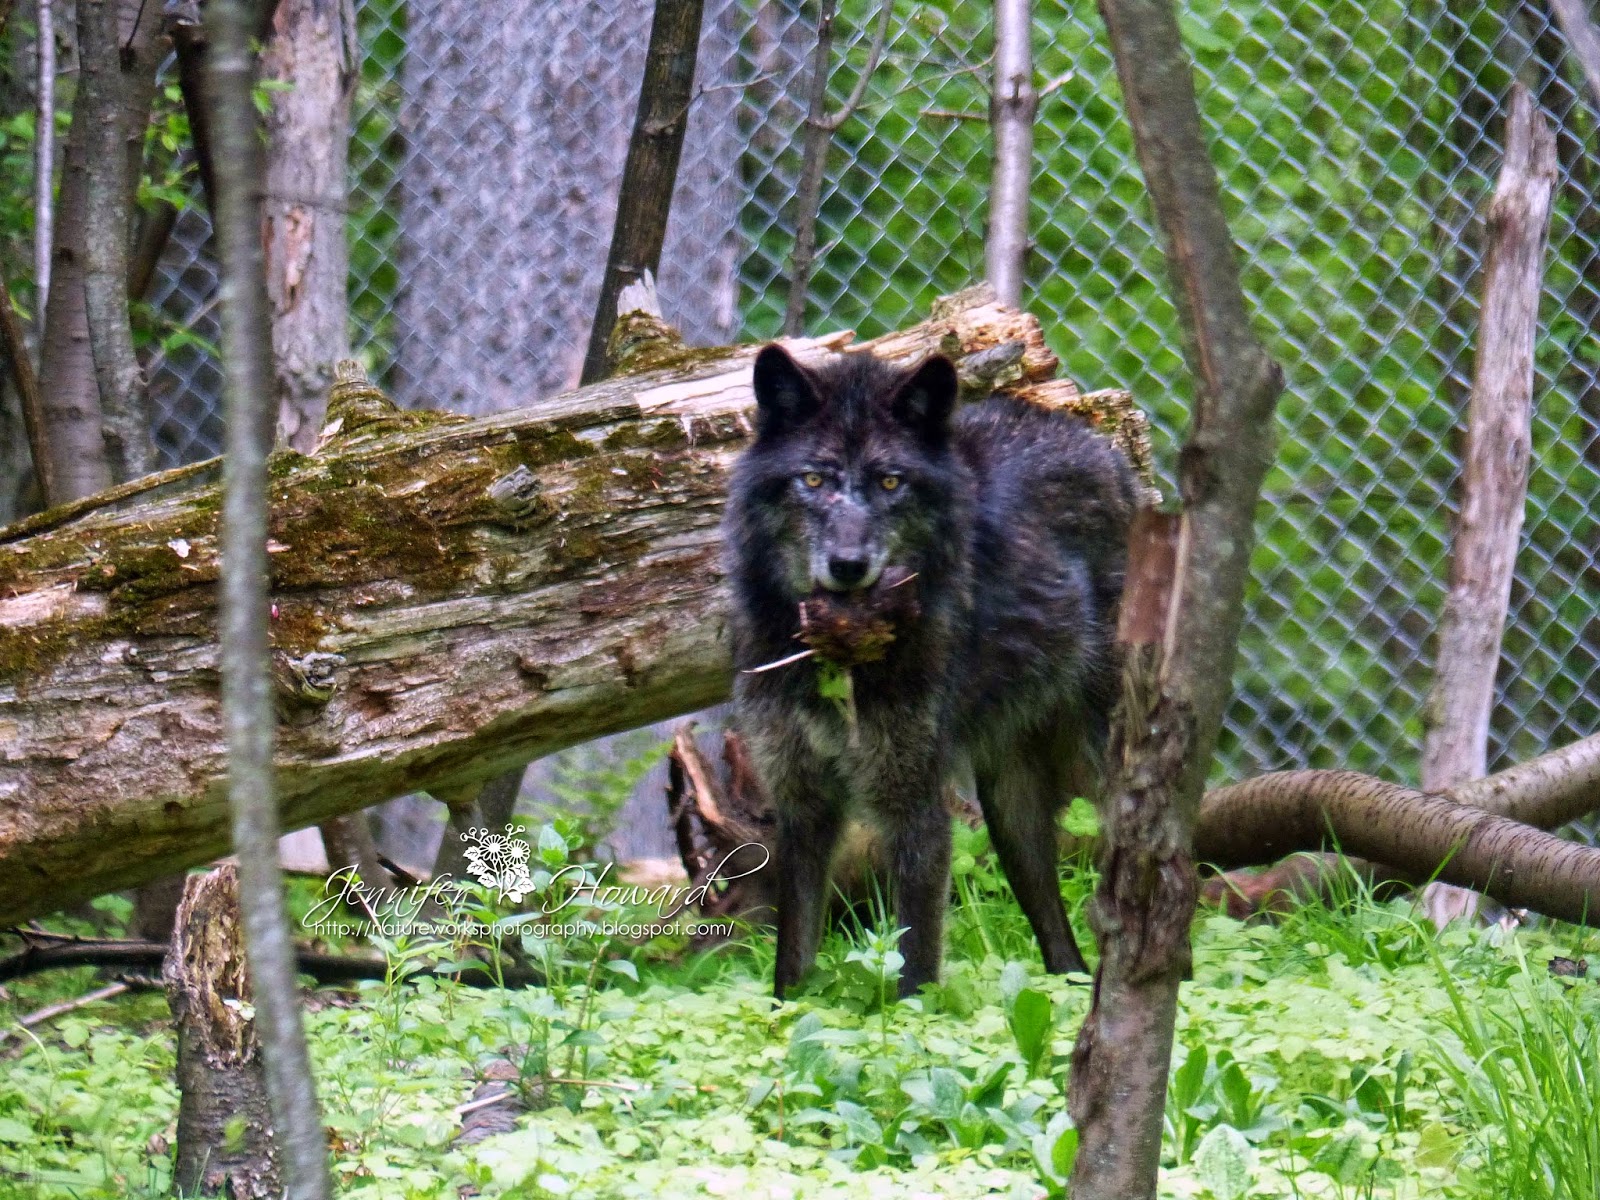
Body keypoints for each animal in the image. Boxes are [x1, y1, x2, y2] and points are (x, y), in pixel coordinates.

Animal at [725, 343, 1137, 998]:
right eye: (813, 479)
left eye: (891, 482)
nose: (848, 566)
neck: (835, 660)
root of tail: (1101, 445)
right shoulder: (800, 802)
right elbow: (792, 956)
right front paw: (785, 1013)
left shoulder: (913, 805)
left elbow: (914, 959)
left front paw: (910, 1018)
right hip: (1009, 809)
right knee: (1051, 921)